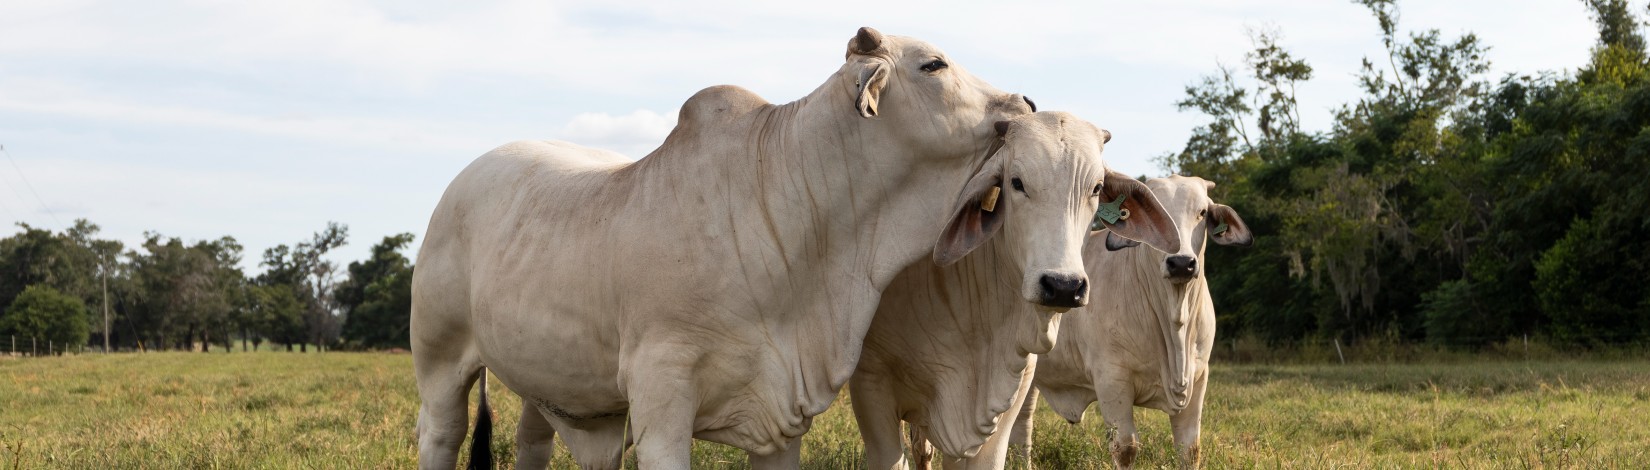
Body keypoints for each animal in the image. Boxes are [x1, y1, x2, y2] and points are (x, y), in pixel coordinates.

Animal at [411, 27, 1043, 469]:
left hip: (543, 385)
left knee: (532, 442)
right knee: (441, 435)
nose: (1027, 103)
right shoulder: (661, 401)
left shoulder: (783, 415)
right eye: (933, 64)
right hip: (438, 362)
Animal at [1011, 175, 1252, 470]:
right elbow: (1126, 448)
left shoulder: (1199, 377)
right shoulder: (1112, 379)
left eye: (1202, 212)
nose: (1181, 263)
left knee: (1022, 422)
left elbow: (1189, 450)